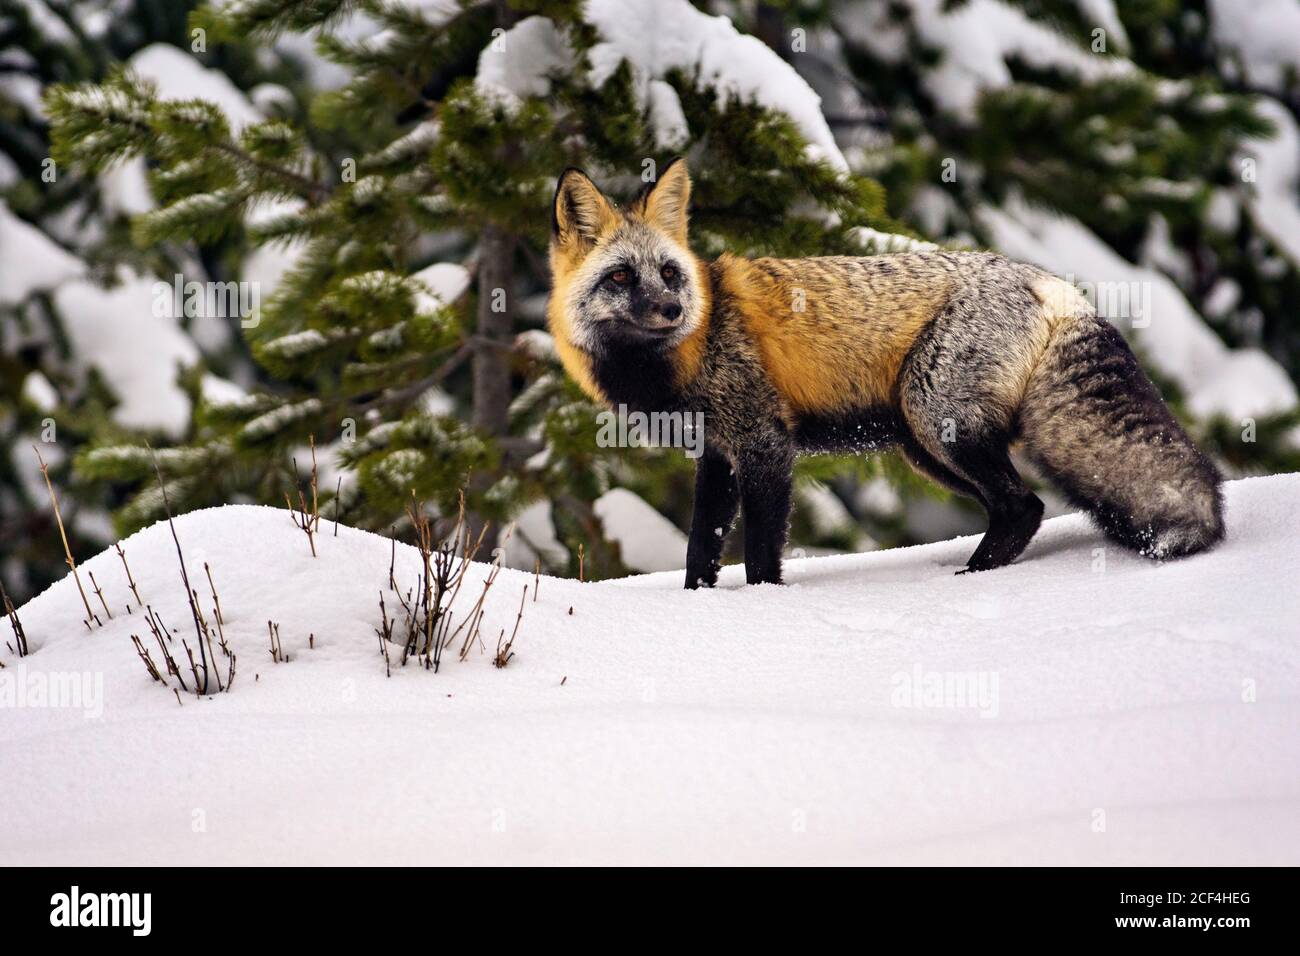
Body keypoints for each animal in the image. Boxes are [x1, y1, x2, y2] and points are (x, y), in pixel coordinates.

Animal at [546, 159, 1225, 588]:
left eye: (669, 273)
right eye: (621, 276)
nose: (672, 309)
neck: (686, 355)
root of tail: (1052, 283)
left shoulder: (764, 445)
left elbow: (761, 555)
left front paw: (763, 608)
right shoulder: (716, 454)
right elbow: (699, 552)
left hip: (936, 420)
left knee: (1024, 505)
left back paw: (971, 580)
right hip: (925, 448)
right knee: (1018, 509)